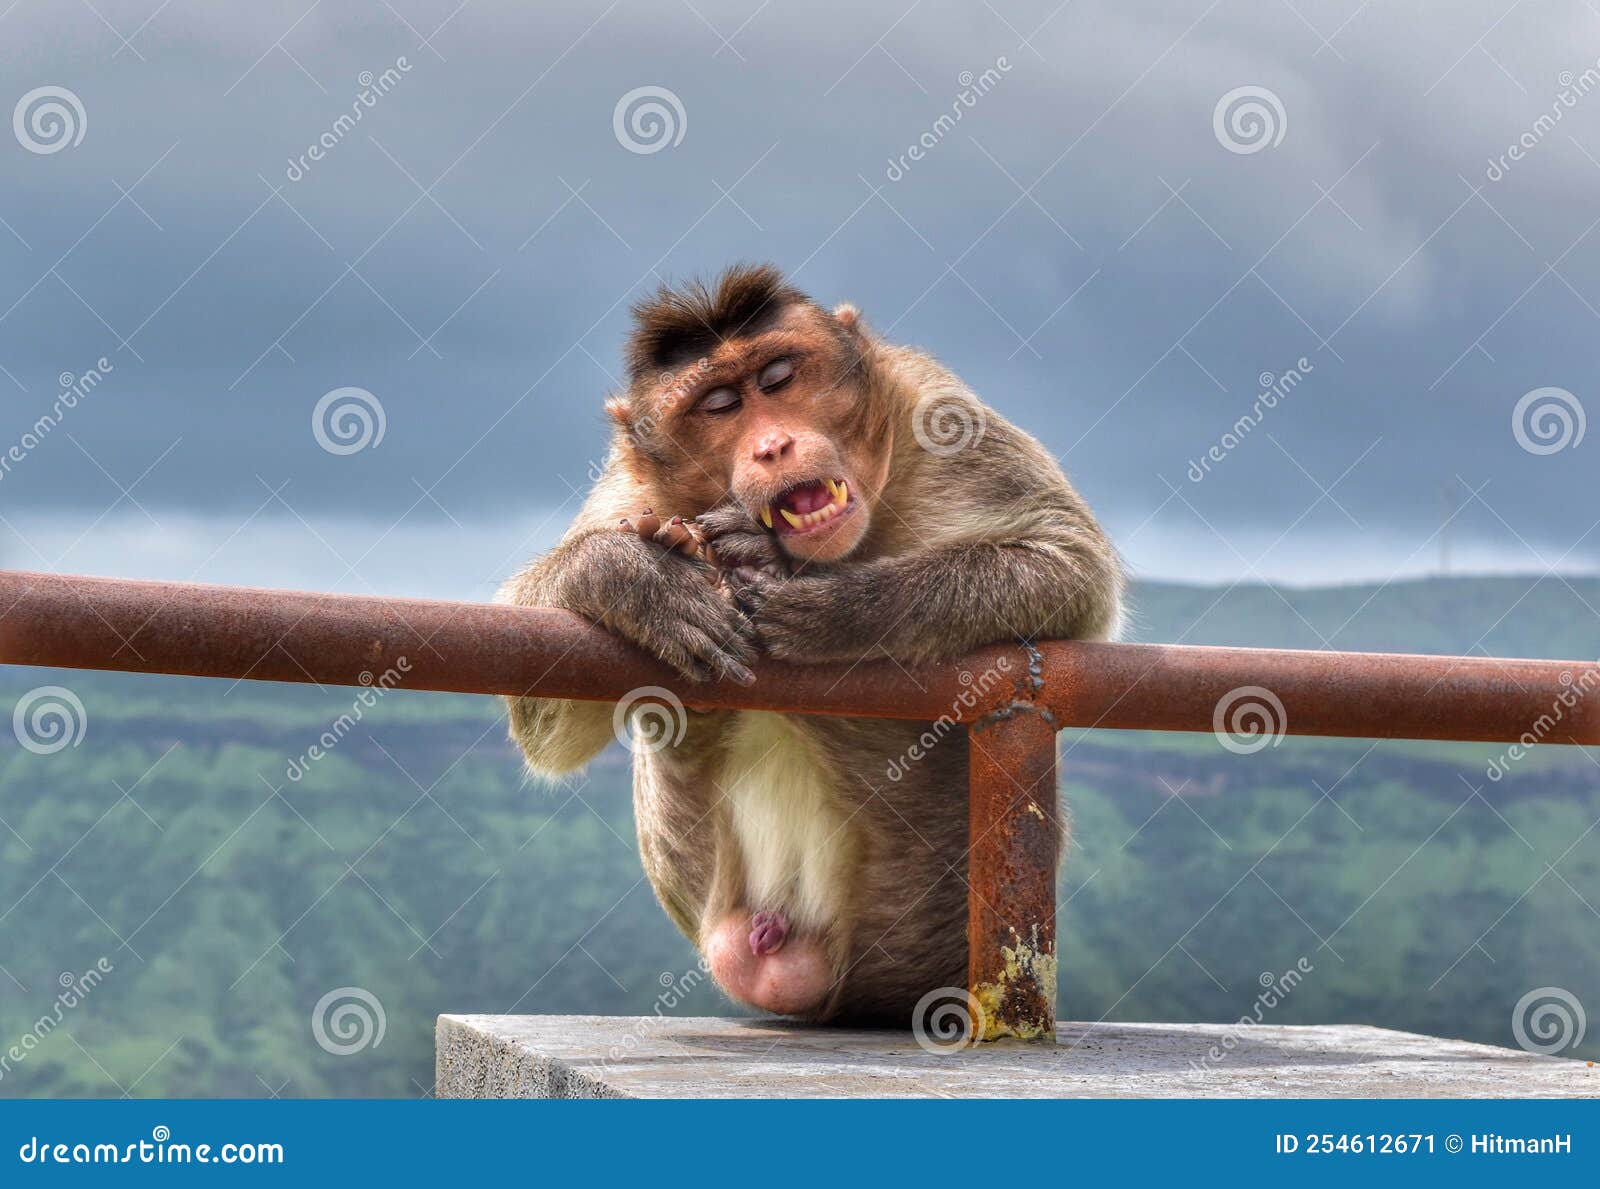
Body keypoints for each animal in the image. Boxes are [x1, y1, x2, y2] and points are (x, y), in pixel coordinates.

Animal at [499, 263, 1122, 1024]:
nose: (772, 446)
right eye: (718, 405)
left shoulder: (936, 407)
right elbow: (545, 719)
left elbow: (1072, 567)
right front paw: (639, 579)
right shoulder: (630, 486)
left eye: (778, 377)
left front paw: (827, 605)